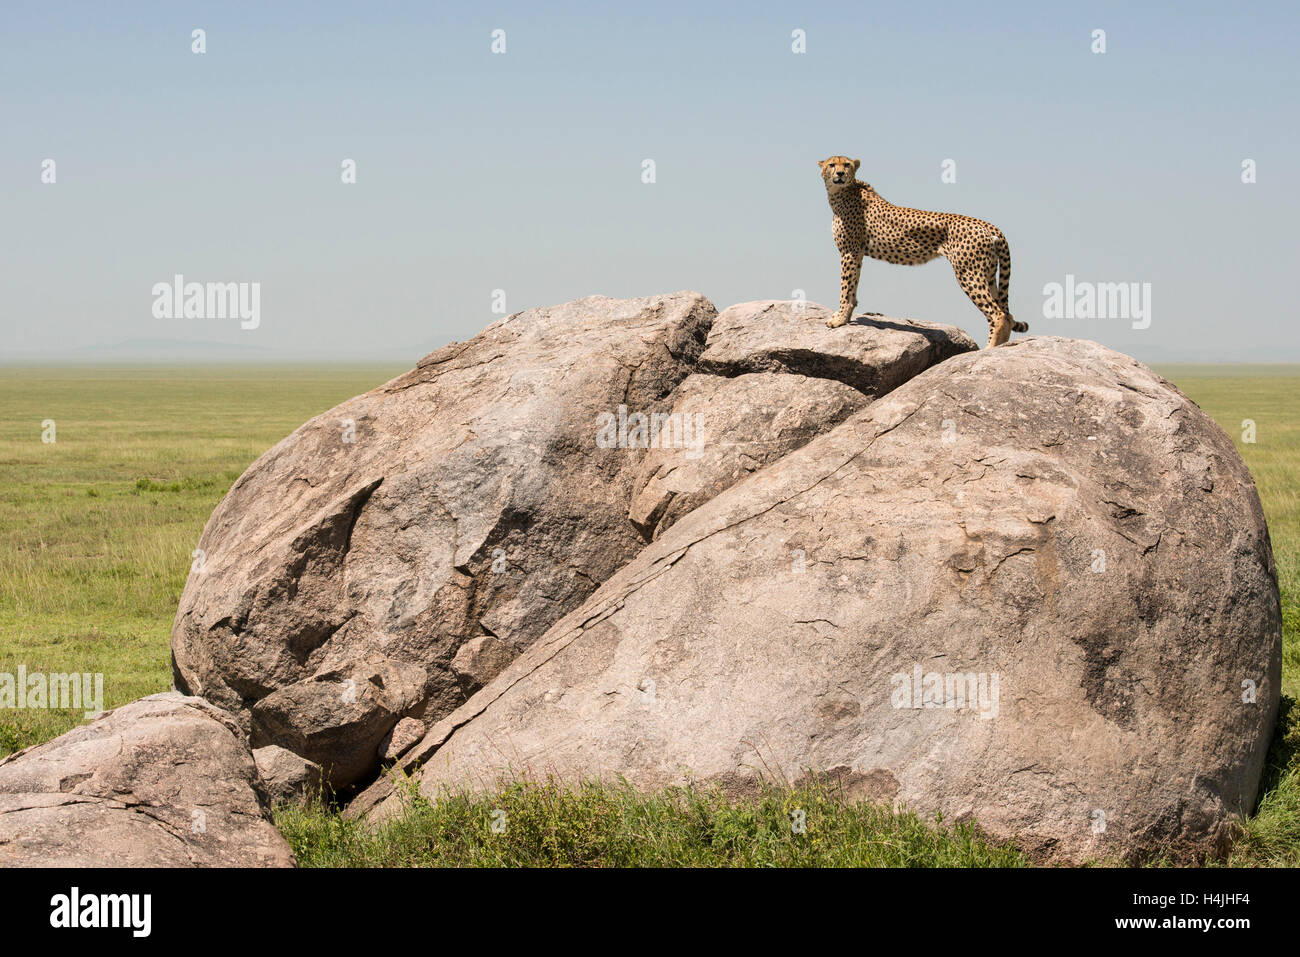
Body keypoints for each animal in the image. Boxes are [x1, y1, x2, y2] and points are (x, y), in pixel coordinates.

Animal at [818, 155, 1027, 347]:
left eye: (846, 165)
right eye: (832, 165)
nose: (840, 174)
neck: (841, 193)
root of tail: (986, 224)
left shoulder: (850, 252)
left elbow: (846, 287)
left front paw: (839, 319)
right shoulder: (857, 254)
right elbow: (853, 287)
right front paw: (846, 316)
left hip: (968, 273)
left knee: (998, 314)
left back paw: (988, 349)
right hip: (988, 273)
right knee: (1007, 314)